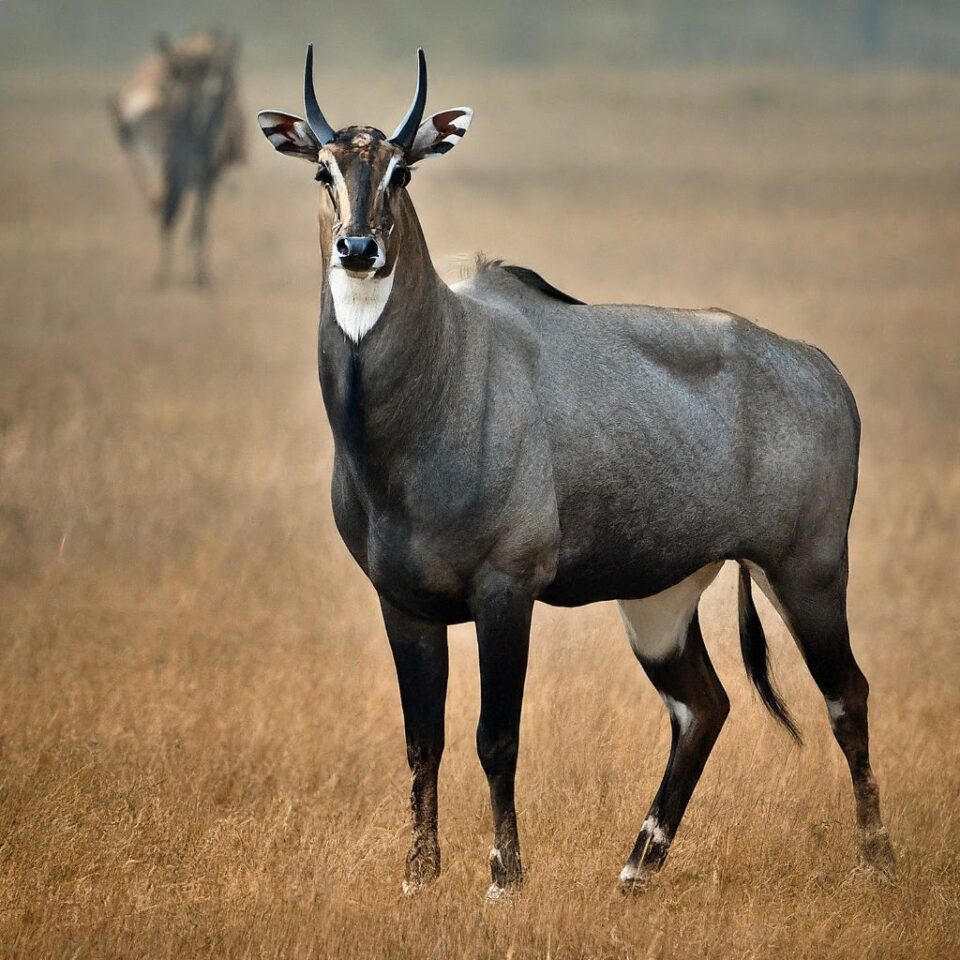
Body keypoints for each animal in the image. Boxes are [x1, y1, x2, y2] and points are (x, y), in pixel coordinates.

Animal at [110, 31, 245, 285]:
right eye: (226, 90)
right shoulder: (208, 173)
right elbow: (199, 222)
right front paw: (200, 274)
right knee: (172, 210)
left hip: (163, 162)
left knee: (163, 206)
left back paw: (163, 273)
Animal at [256, 46, 896, 899]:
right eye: (323, 168)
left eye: (402, 169)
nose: (358, 250)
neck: (439, 383)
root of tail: (824, 371)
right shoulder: (404, 604)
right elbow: (423, 741)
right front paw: (419, 877)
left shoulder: (505, 592)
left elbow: (497, 737)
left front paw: (505, 878)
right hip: (660, 599)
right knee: (705, 706)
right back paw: (635, 868)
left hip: (807, 571)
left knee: (845, 695)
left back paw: (878, 860)